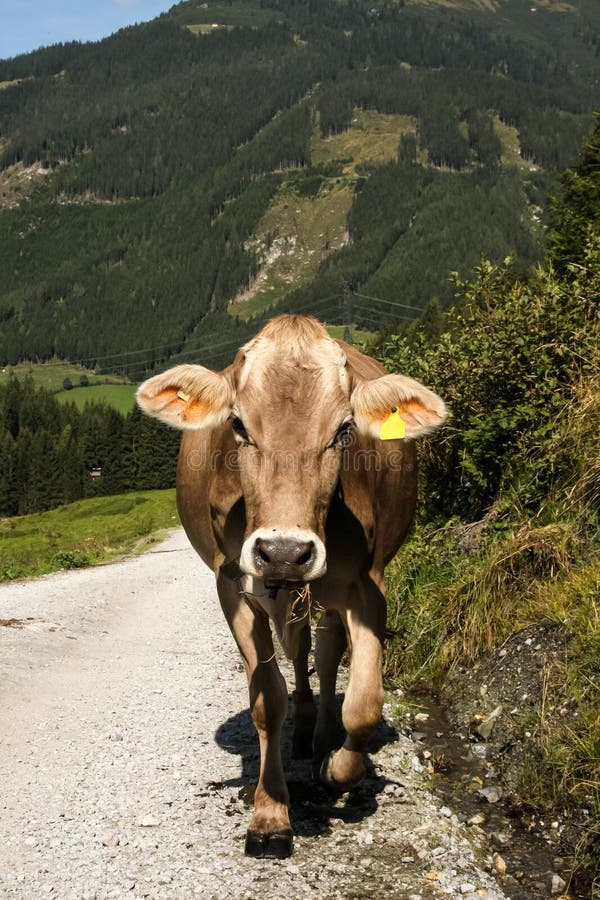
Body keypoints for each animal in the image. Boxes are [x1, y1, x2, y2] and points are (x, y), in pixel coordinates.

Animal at [136, 314, 446, 859]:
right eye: (238, 425)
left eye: (344, 430)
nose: (283, 551)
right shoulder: (233, 586)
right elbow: (267, 699)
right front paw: (270, 814)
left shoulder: (367, 586)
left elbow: (363, 705)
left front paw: (336, 768)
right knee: (301, 654)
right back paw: (302, 729)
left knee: (325, 652)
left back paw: (320, 738)